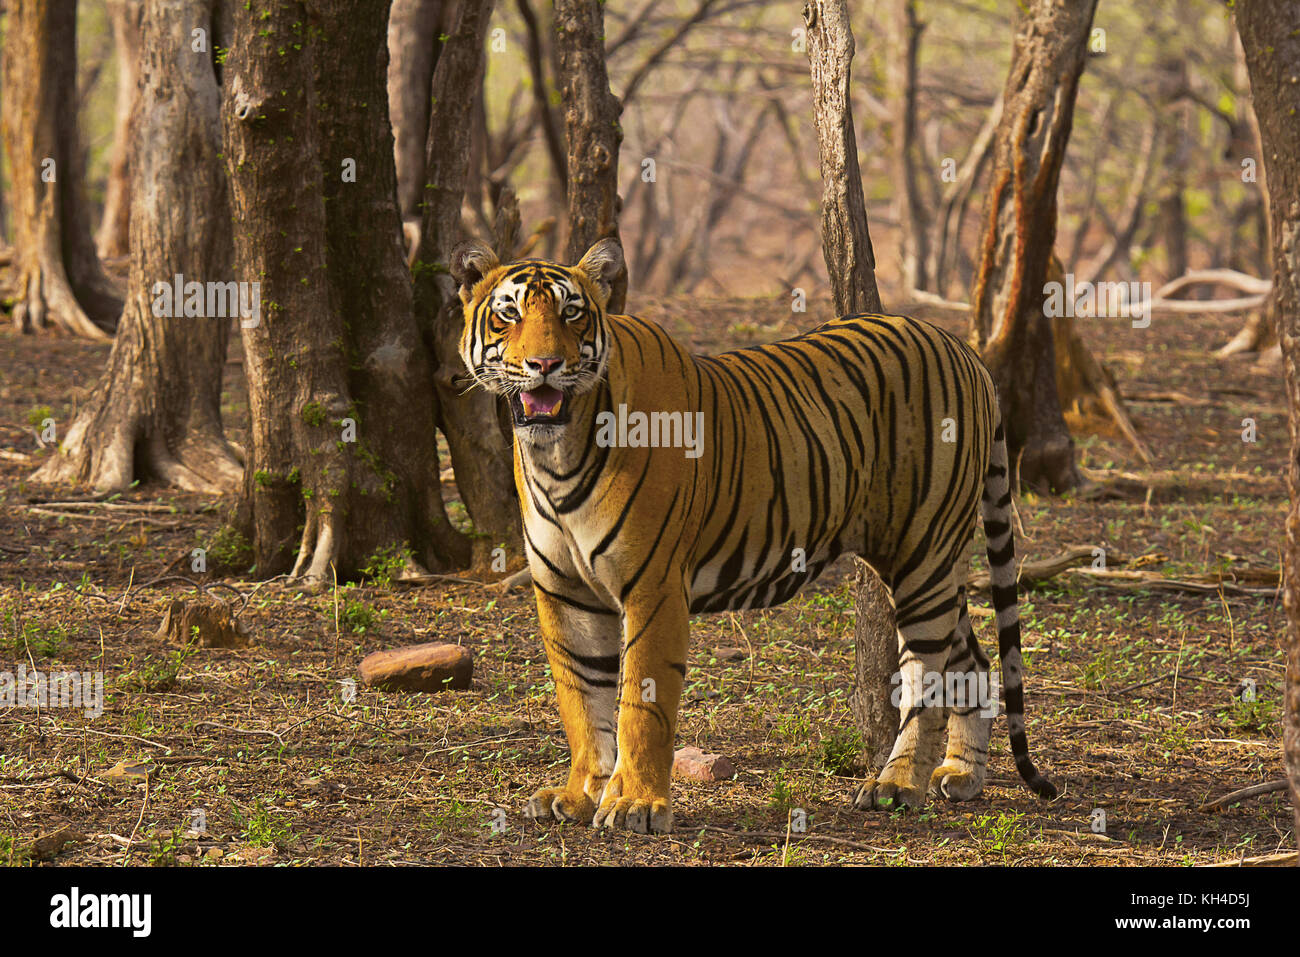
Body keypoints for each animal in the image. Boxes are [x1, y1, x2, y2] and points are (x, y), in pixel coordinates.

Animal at [451, 237, 1057, 835]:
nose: (546, 364)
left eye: (571, 313)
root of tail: (962, 347)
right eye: (509, 314)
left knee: (926, 675)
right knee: (973, 662)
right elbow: (581, 702)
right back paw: (961, 774)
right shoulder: (565, 591)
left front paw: (637, 805)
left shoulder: (653, 586)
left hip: (923, 551)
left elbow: (639, 704)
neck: (558, 450)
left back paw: (898, 785)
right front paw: (581, 794)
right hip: (925, 561)